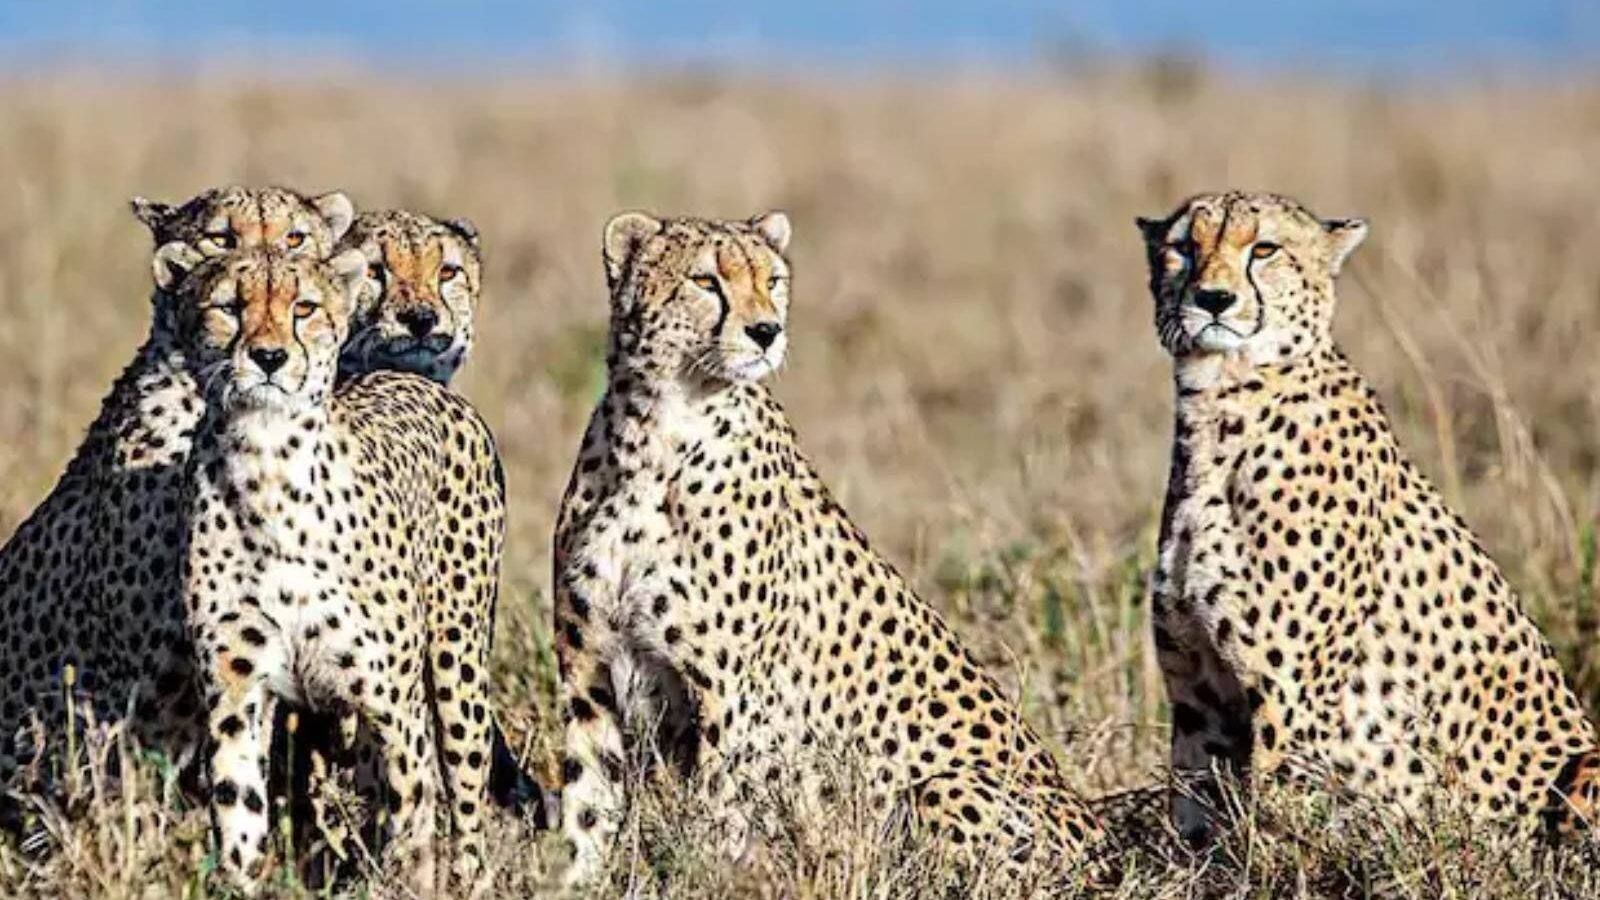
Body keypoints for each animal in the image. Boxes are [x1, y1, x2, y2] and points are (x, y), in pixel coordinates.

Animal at [162, 242, 505, 892]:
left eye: (304, 308)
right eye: (229, 307)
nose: (269, 356)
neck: (267, 465)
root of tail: (406, 376)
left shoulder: (394, 708)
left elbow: (411, 825)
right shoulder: (235, 696)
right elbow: (240, 820)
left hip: (457, 667)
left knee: (467, 802)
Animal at [551, 210, 1105, 886]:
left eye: (772, 279)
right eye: (706, 281)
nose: (766, 330)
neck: (656, 433)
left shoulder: (732, 698)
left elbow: (713, 820)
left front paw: (703, 879)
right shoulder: (590, 675)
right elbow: (586, 811)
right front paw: (573, 882)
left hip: (945, 788)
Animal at [1137, 189, 1599, 846]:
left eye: (1264, 249)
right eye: (1183, 247)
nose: (1213, 299)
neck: (1221, 404)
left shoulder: (1292, 705)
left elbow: (1273, 830)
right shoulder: (1200, 698)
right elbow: (1195, 820)